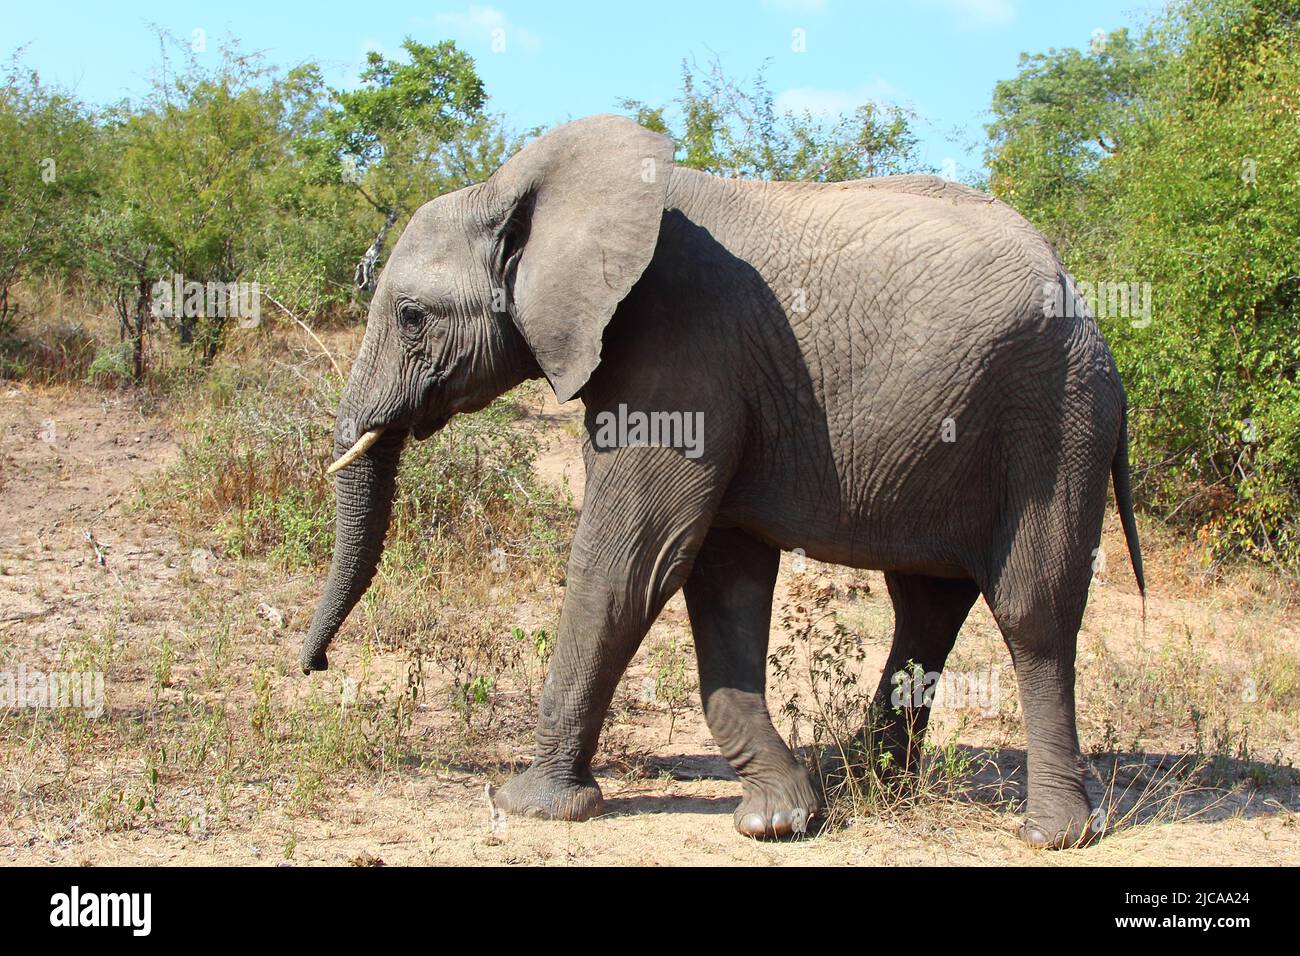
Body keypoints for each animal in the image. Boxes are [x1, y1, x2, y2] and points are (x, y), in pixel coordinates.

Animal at [301, 114, 1145, 849]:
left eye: (412, 316)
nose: (315, 668)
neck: (525, 190)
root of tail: (1089, 307)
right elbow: (721, 579)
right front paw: (780, 816)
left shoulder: (679, 349)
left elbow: (631, 561)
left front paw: (528, 805)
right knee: (927, 604)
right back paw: (866, 777)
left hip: (1054, 417)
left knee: (1033, 611)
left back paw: (1053, 834)